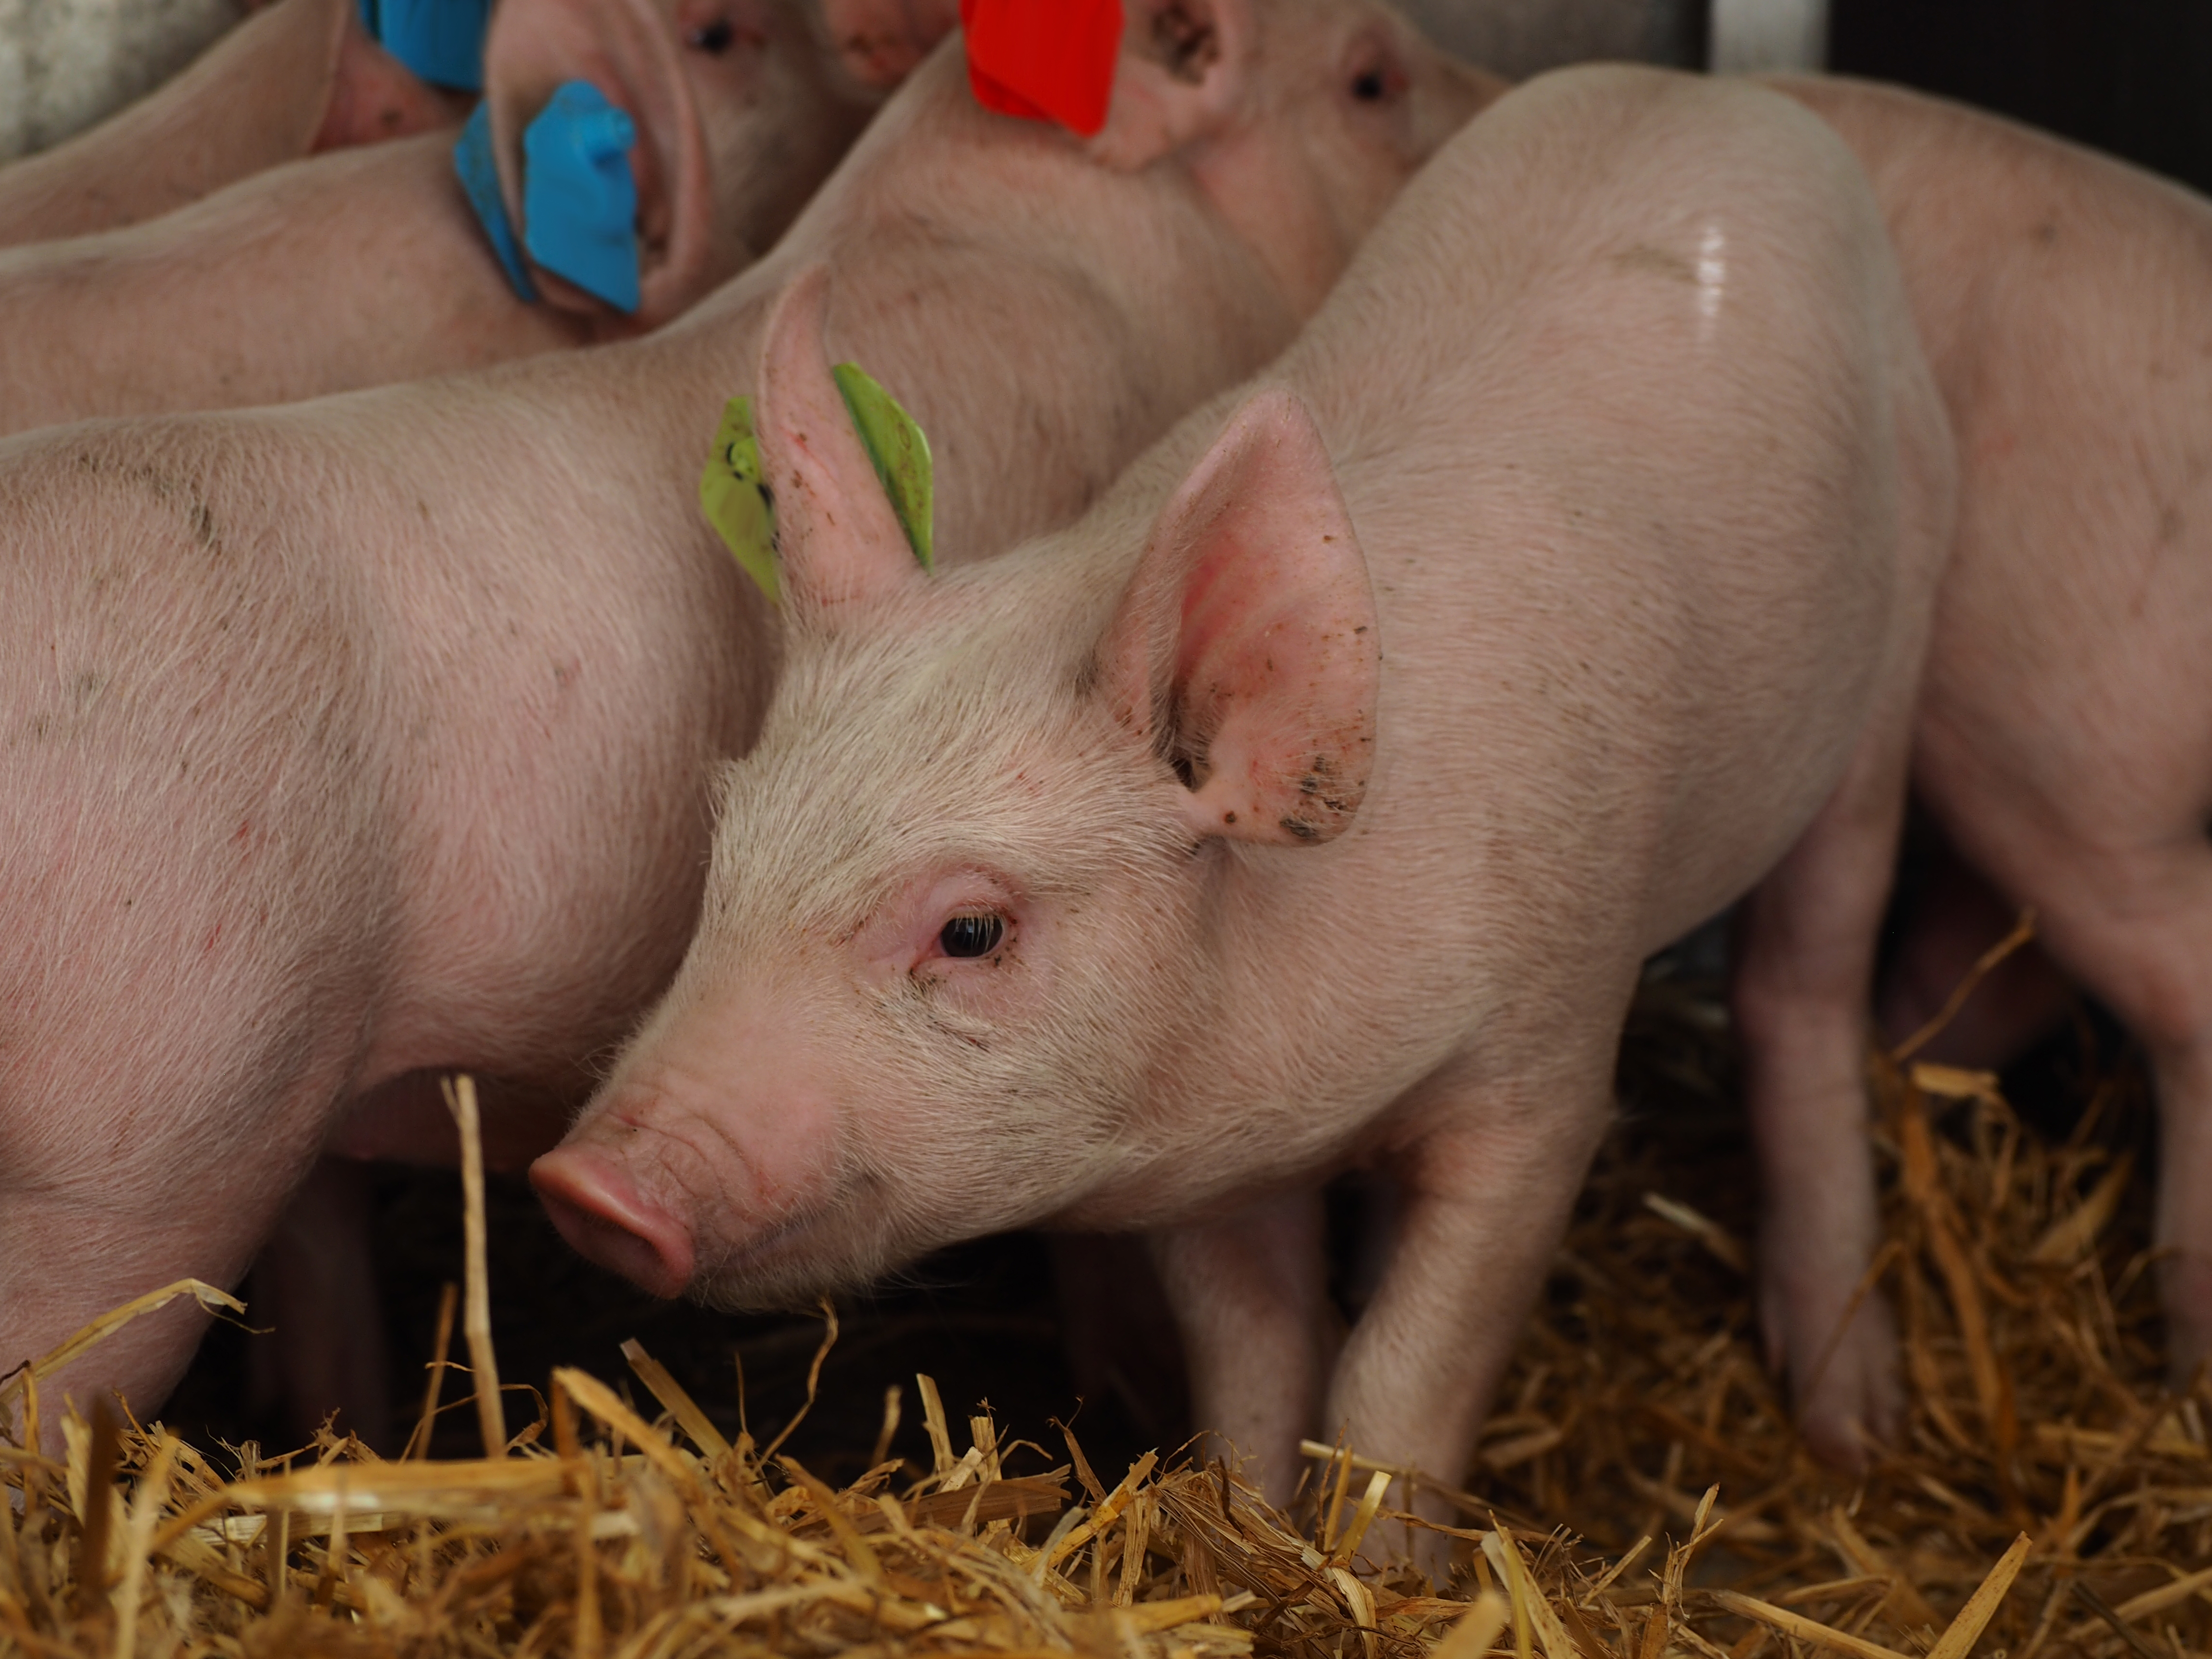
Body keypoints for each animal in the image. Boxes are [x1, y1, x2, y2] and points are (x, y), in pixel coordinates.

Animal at [531, 62, 1954, 1518]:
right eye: (725, 853)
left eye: (971, 929)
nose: (586, 1186)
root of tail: (1704, 88)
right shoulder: (1192, 1159)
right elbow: (1261, 1361)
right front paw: (1255, 1514)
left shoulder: (1548, 1061)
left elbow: (1402, 1378)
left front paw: (1374, 1551)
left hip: (1896, 627)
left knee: (1804, 989)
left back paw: (1859, 1430)